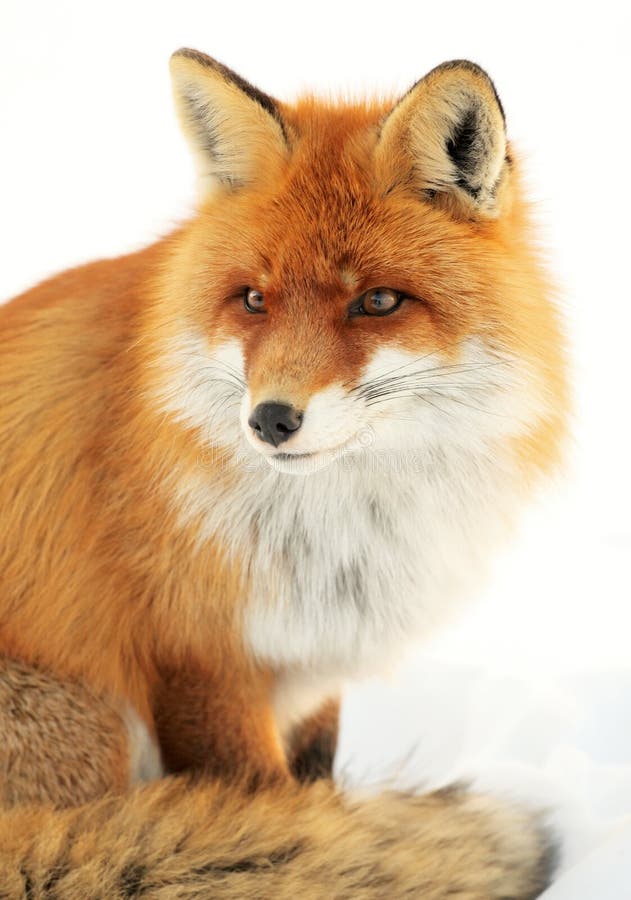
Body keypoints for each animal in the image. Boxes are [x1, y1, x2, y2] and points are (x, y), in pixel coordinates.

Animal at [0, 49, 567, 897]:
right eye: (253, 299)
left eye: (377, 301)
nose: (270, 419)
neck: (338, 535)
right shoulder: (199, 661)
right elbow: (272, 809)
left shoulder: (312, 662)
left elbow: (315, 791)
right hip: (88, 719)